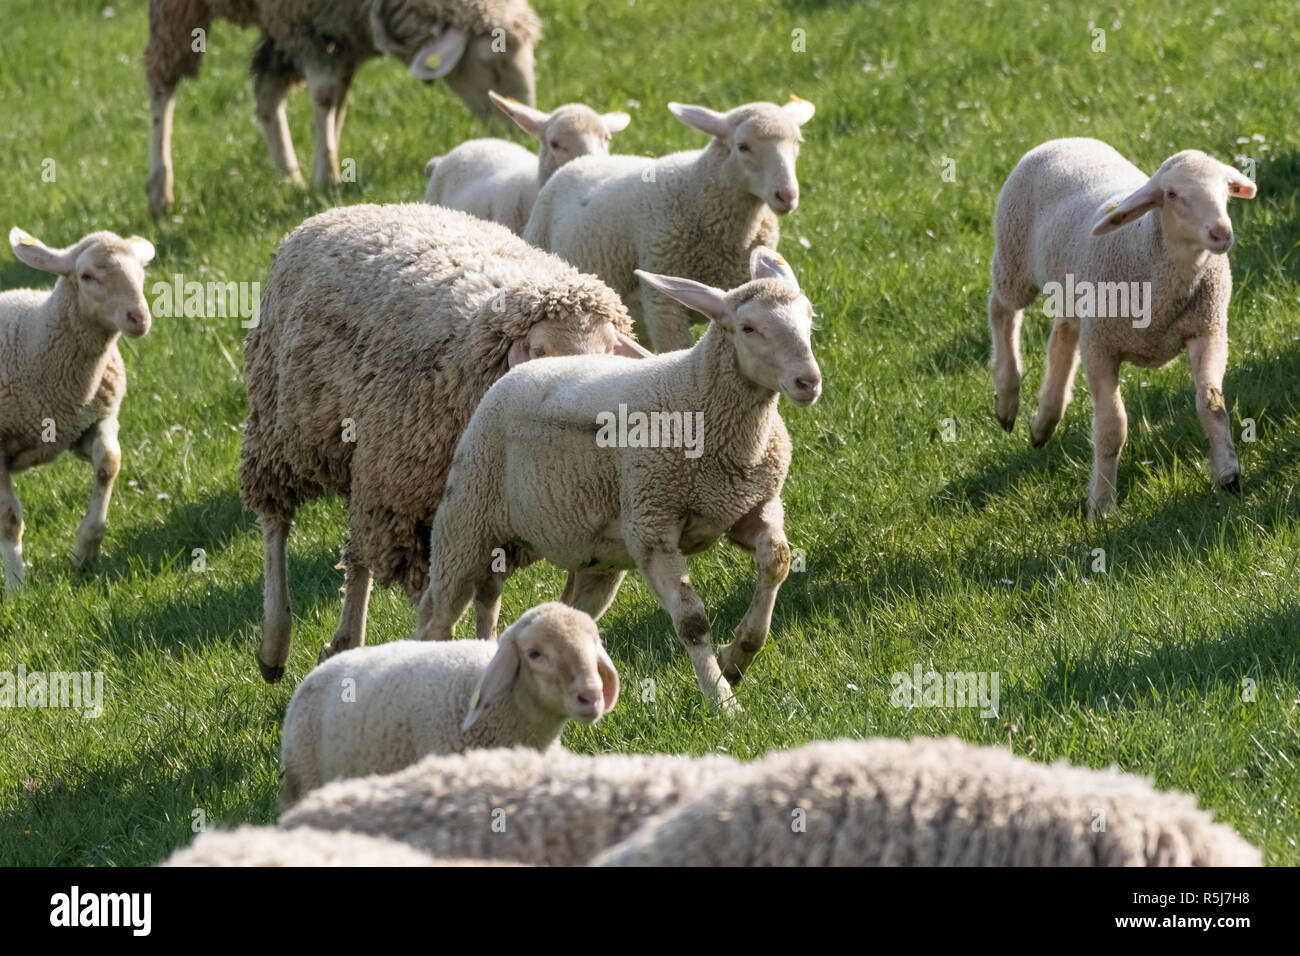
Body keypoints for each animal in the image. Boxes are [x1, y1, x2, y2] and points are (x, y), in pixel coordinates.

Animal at [1, 227, 155, 592]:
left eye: (141, 272)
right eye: (87, 276)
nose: (139, 318)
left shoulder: (86, 423)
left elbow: (109, 462)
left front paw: (85, 551)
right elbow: (10, 519)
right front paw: (16, 587)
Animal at [145, 0, 541, 215]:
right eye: (491, 61)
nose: (518, 132)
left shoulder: (345, 34)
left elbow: (338, 103)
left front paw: (326, 170)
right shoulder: (303, 24)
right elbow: (325, 94)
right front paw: (329, 175)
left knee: (267, 94)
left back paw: (289, 176)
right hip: (177, 11)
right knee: (162, 87)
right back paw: (160, 190)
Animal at [240, 202, 649, 681]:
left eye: (608, 349)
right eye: (540, 351)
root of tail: (348, 208)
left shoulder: (483, 513)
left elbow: (489, 593)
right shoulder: (410, 511)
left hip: (364, 464)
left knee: (357, 553)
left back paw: (344, 642)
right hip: (282, 427)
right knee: (276, 522)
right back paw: (274, 645)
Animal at [413, 247, 821, 712]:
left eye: (809, 318)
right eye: (749, 328)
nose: (809, 381)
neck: (698, 399)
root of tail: (518, 371)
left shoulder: (749, 507)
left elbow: (778, 560)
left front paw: (738, 656)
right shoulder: (652, 525)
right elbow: (692, 622)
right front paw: (722, 700)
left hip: (593, 557)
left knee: (553, 614)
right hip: (465, 522)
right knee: (436, 622)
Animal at [987, 139, 1257, 517]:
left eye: (1225, 189)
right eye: (1172, 194)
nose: (1221, 233)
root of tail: (1065, 139)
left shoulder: (1208, 330)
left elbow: (1211, 403)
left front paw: (1228, 473)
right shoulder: (1101, 347)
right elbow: (1112, 426)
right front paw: (1101, 505)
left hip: (1074, 294)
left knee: (1062, 336)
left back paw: (1045, 422)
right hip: (1014, 261)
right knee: (1001, 309)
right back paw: (1007, 396)